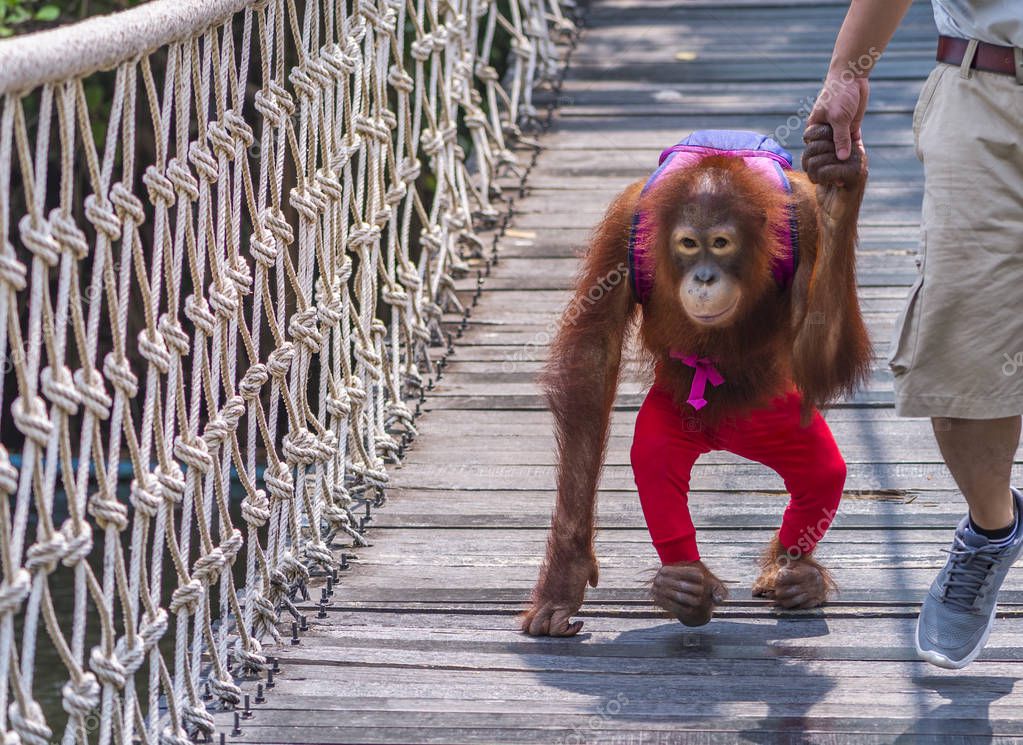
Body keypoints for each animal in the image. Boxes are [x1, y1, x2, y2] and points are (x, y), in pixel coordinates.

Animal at [521, 126, 870, 636]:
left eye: (721, 243)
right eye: (688, 244)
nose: (704, 277)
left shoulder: (804, 220)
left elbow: (817, 361)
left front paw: (841, 192)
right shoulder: (625, 225)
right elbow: (592, 359)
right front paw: (566, 578)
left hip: (776, 418)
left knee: (821, 477)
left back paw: (793, 576)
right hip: (674, 415)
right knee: (655, 461)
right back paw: (683, 588)